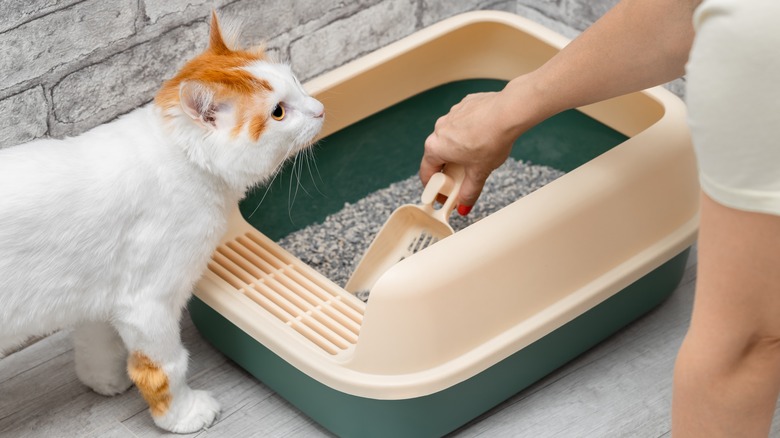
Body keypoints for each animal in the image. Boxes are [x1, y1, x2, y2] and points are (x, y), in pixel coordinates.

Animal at [0, 12, 324, 432]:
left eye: (296, 82)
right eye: (278, 112)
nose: (320, 108)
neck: (182, 158)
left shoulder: (97, 290)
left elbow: (96, 341)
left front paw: (102, 379)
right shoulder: (147, 303)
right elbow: (165, 367)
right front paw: (182, 415)